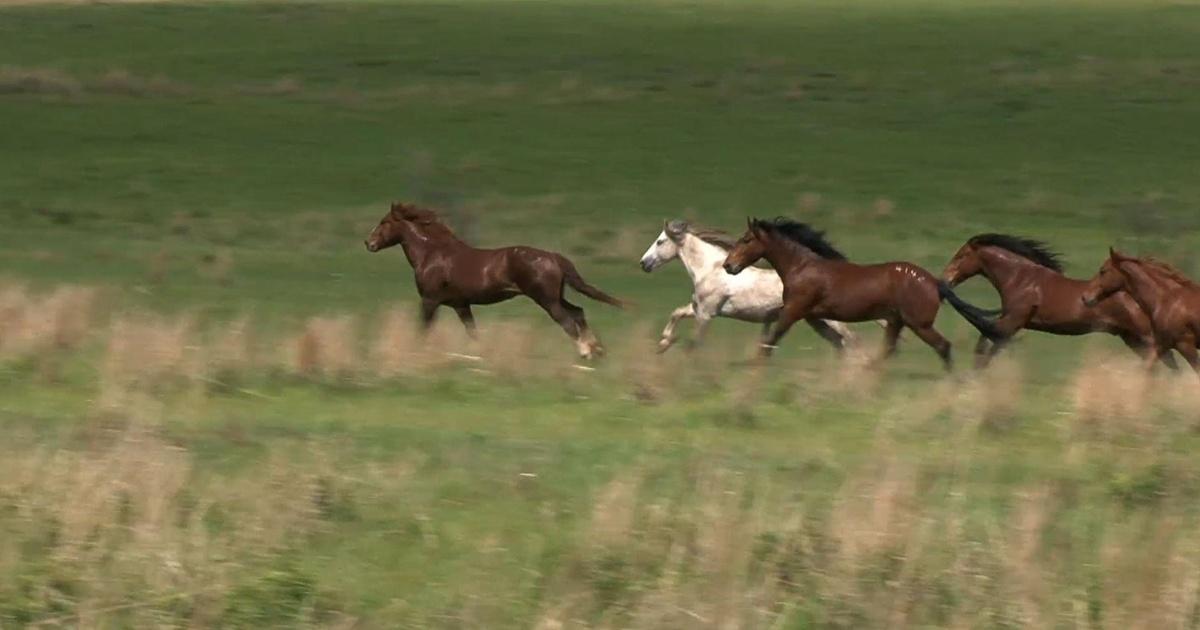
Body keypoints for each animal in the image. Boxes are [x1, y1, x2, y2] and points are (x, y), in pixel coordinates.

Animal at [364, 202, 624, 360]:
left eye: (385, 222)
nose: (369, 243)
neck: (432, 254)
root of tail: (552, 257)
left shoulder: (429, 300)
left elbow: (423, 329)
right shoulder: (460, 305)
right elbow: (473, 332)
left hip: (546, 300)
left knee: (568, 322)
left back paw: (586, 352)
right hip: (555, 296)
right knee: (578, 312)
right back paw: (597, 350)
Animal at [639, 219, 857, 353]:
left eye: (660, 242)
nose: (643, 263)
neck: (708, 270)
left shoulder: (706, 315)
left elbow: (694, 343)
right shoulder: (697, 309)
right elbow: (676, 313)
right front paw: (663, 343)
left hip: (831, 320)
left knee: (851, 340)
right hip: (817, 322)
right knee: (840, 344)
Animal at [721, 217, 1003, 368]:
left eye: (746, 240)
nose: (728, 265)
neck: (802, 267)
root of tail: (934, 282)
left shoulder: (794, 311)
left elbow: (773, 337)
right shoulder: (813, 316)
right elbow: (836, 341)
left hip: (918, 324)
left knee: (943, 346)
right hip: (897, 321)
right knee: (889, 350)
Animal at [942, 234, 1174, 369]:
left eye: (961, 256)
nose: (946, 279)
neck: (1021, 278)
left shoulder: (1011, 323)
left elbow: (988, 347)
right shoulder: (1011, 322)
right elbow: (984, 343)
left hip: (1145, 336)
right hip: (1131, 338)